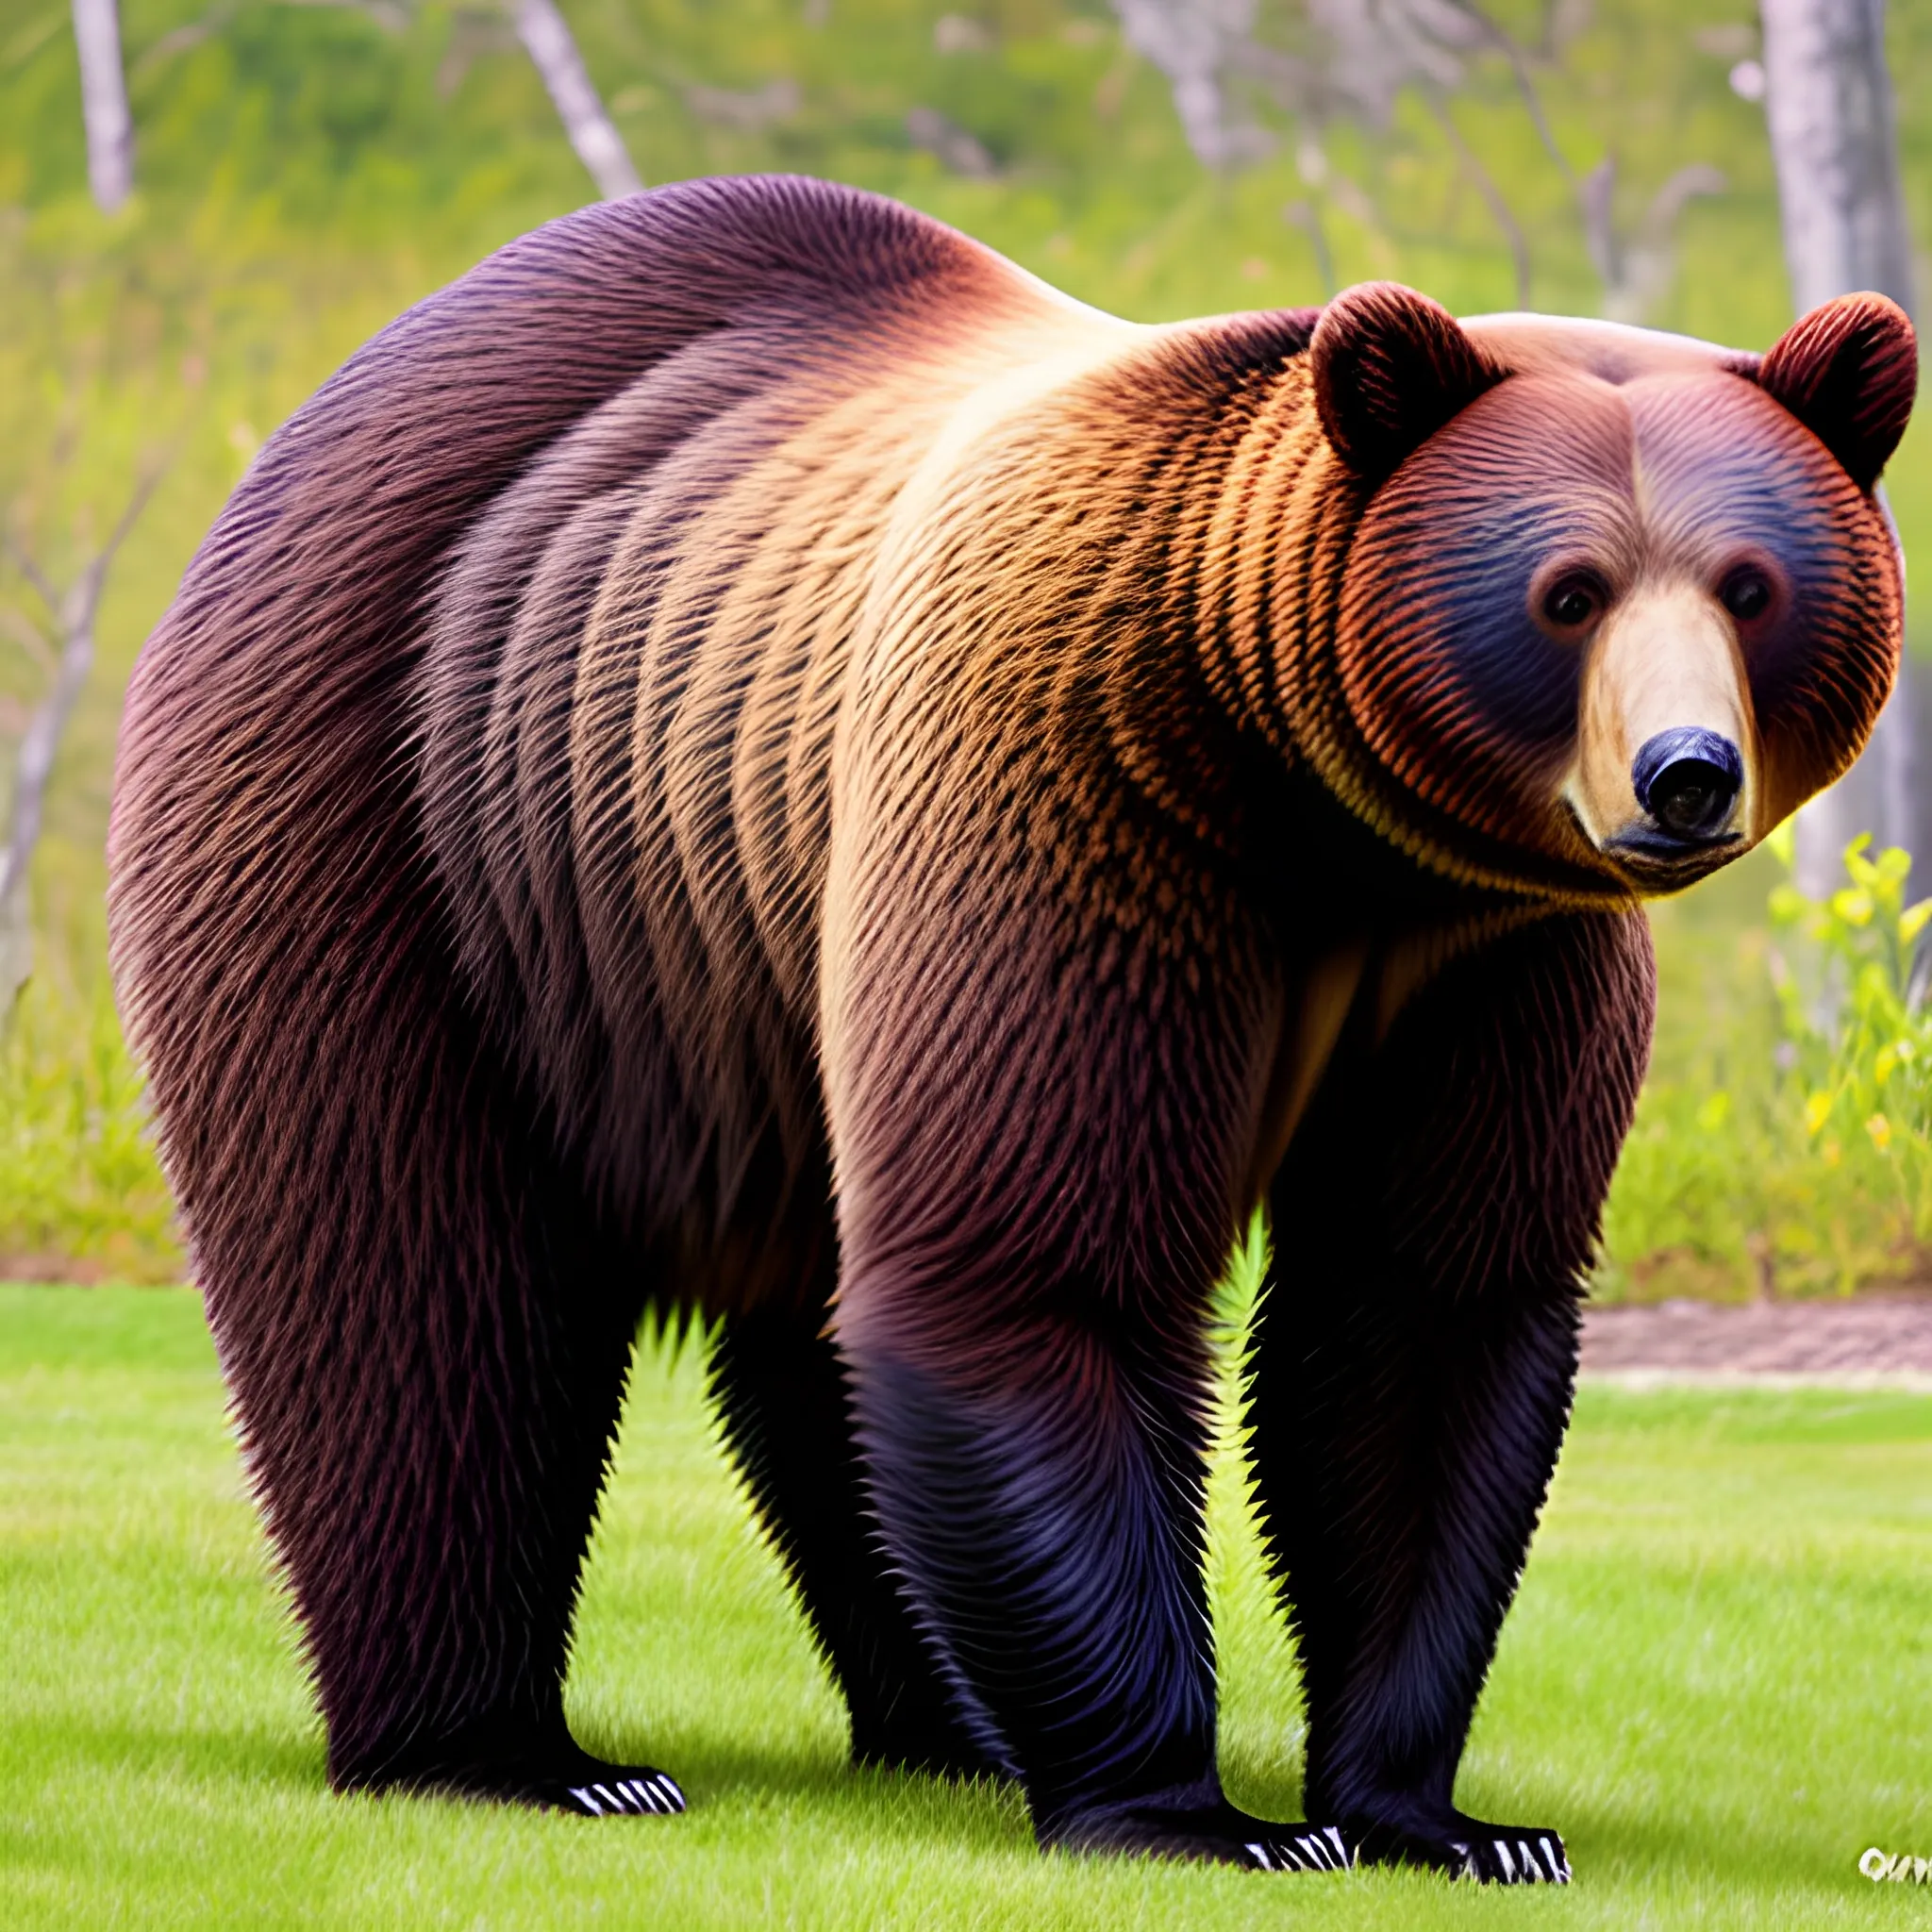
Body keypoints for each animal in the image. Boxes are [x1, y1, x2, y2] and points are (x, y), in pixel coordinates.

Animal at [107, 175, 1914, 1882]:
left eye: (1753, 584)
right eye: (1566, 591)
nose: (1683, 775)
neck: (1321, 816)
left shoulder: (1490, 951)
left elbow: (1423, 1314)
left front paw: (1437, 1814)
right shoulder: (1070, 764)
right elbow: (1035, 1263)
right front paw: (1201, 1811)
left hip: (742, 970)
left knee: (816, 1328)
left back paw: (944, 1734)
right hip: (416, 822)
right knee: (419, 1293)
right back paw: (519, 1755)